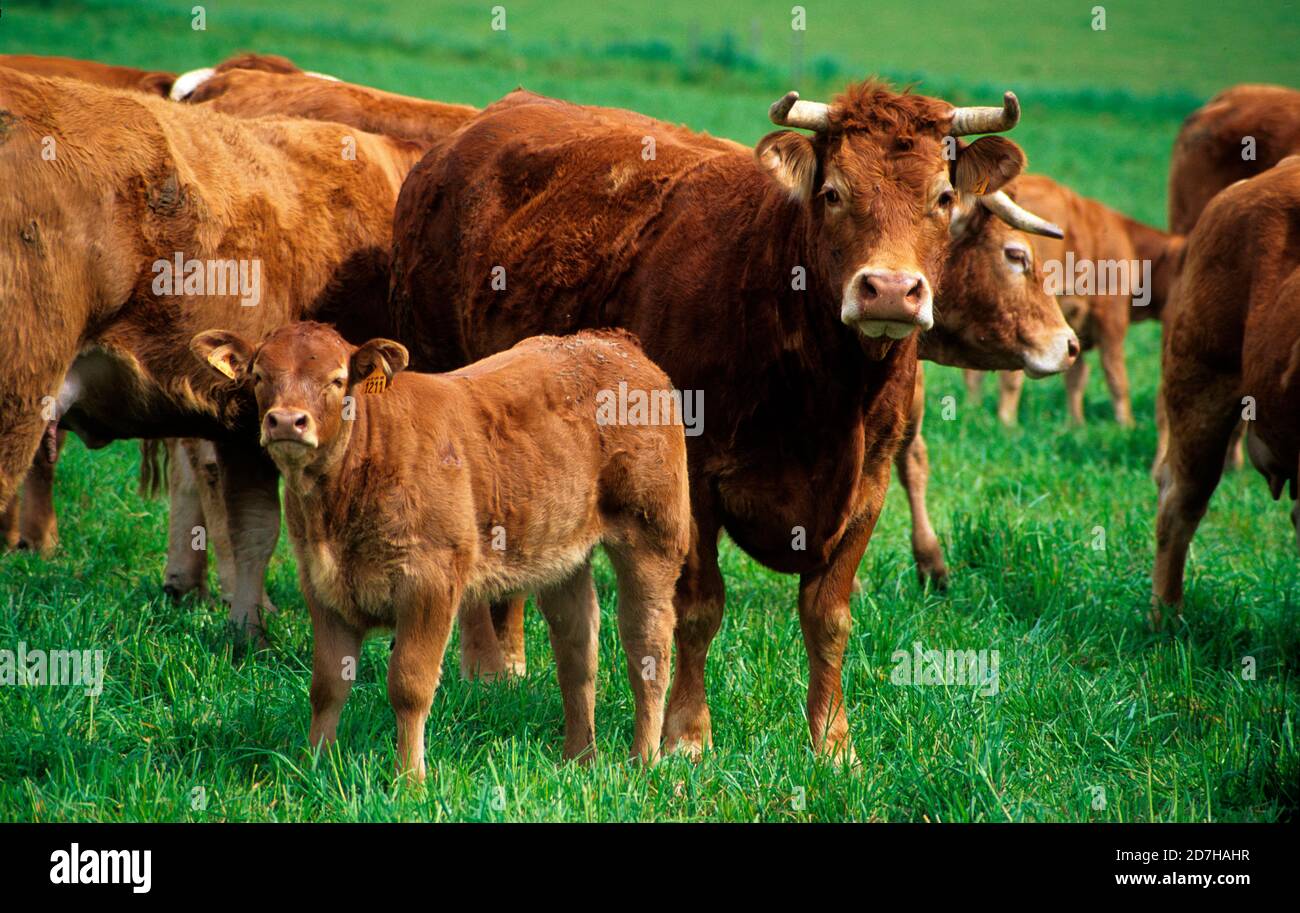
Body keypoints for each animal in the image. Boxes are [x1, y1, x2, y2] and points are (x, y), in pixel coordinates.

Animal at [191, 322, 690, 780]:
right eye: (259, 376)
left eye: (336, 379)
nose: (286, 421)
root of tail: (610, 341)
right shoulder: (321, 586)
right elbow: (327, 684)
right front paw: (313, 767)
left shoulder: (429, 583)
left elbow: (409, 684)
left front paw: (409, 779)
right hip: (563, 555)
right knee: (578, 651)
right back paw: (578, 759)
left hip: (653, 538)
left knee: (647, 647)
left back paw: (644, 759)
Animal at [388, 83, 1073, 760]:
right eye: (833, 193)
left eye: (943, 197)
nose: (888, 290)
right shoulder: (692, 479)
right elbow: (698, 609)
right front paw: (687, 734)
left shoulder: (869, 488)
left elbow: (828, 616)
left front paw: (833, 742)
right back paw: (486, 664)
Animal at [962, 173, 1184, 427]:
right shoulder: (1111, 319)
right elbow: (1116, 376)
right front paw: (1126, 426)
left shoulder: (1075, 332)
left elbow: (1076, 378)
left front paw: (1076, 425)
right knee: (1011, 378)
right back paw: (1007, 424)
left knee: (974, 372)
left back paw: (974, 411)